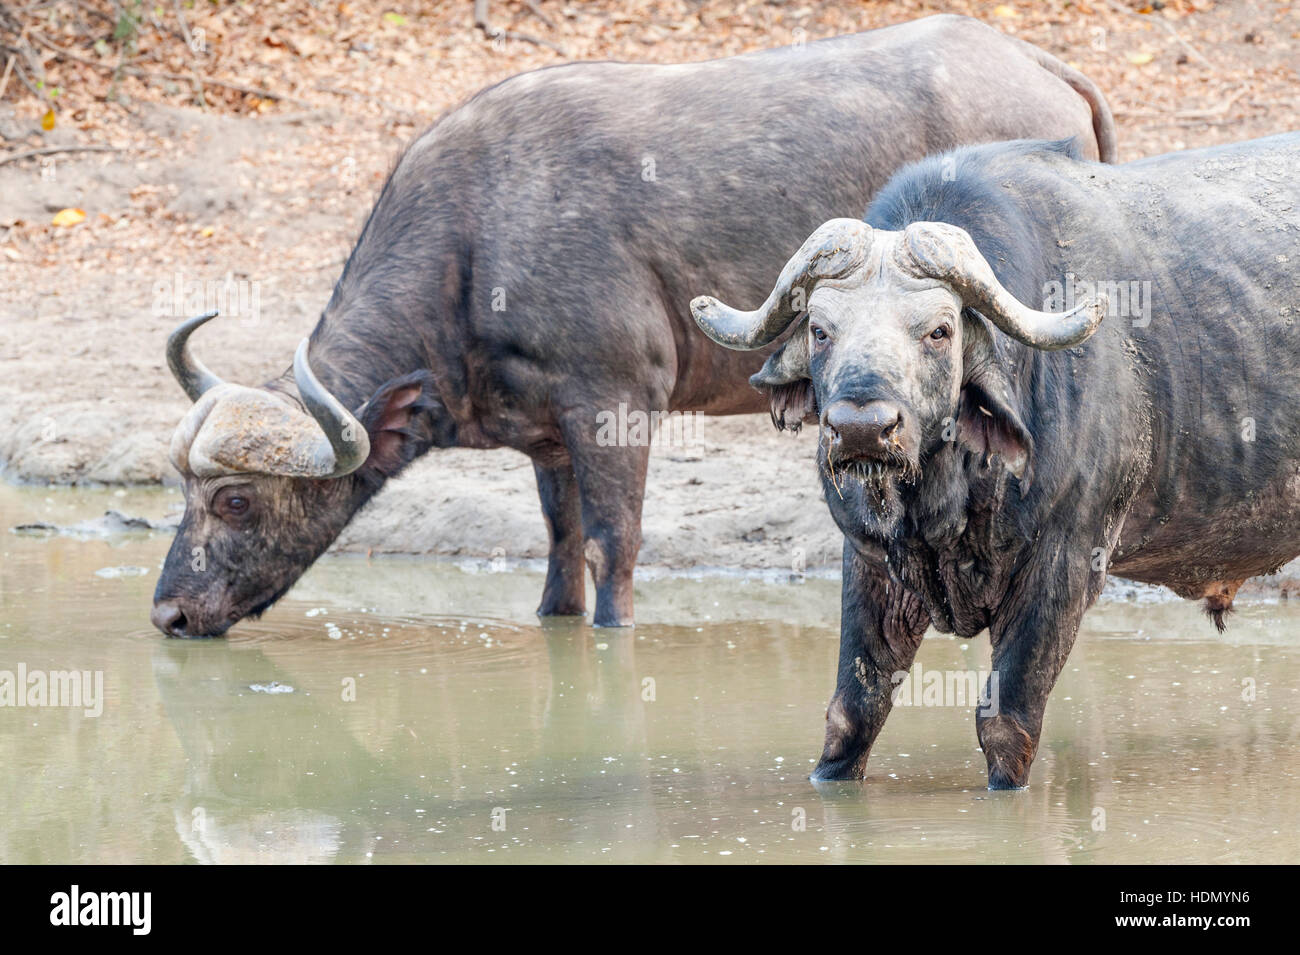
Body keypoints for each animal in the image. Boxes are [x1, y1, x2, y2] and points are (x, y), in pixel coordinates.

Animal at [150, 14, 1119, 637]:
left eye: (235, 499)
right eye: (181, 492)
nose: (170, 611)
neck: (478, 239)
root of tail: (1042, 64)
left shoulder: (615, 404)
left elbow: (613, 550)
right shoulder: (548, 437)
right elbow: (560, 550)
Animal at [689, 132, 1300, 788]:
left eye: (939, 331)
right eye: (821, 331)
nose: (861, 430)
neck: (948, 492)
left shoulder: (1065, 565)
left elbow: (1007, 724)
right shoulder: (871, 563)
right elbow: (853, 712)